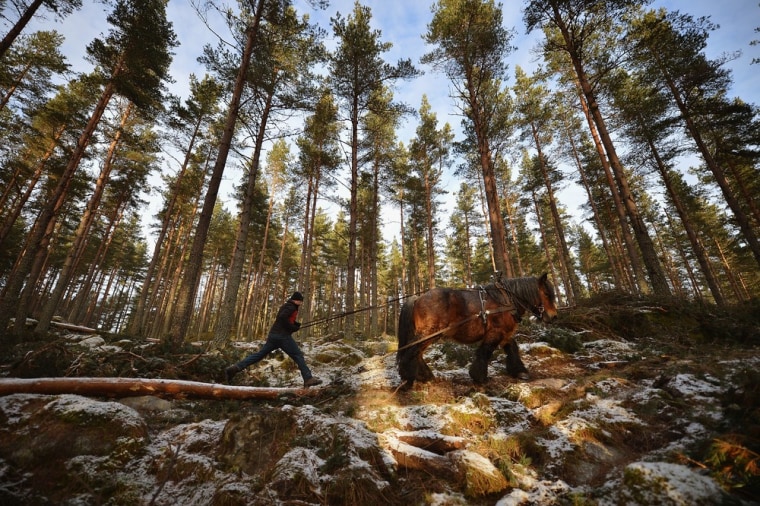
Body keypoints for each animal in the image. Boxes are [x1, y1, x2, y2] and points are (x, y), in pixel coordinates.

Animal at [396, 273, 558, 389]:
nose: (554, 317)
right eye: (547, 294)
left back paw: (425, 376)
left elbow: (512, 349)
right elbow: (485, 352)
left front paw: (520, 371)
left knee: (417, 354)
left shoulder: (505, 333)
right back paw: (407, 379)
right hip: (429, 333)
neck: (506, 300)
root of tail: (417, 298)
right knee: (412, 353)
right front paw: (479, 377)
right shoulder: (495, 332)